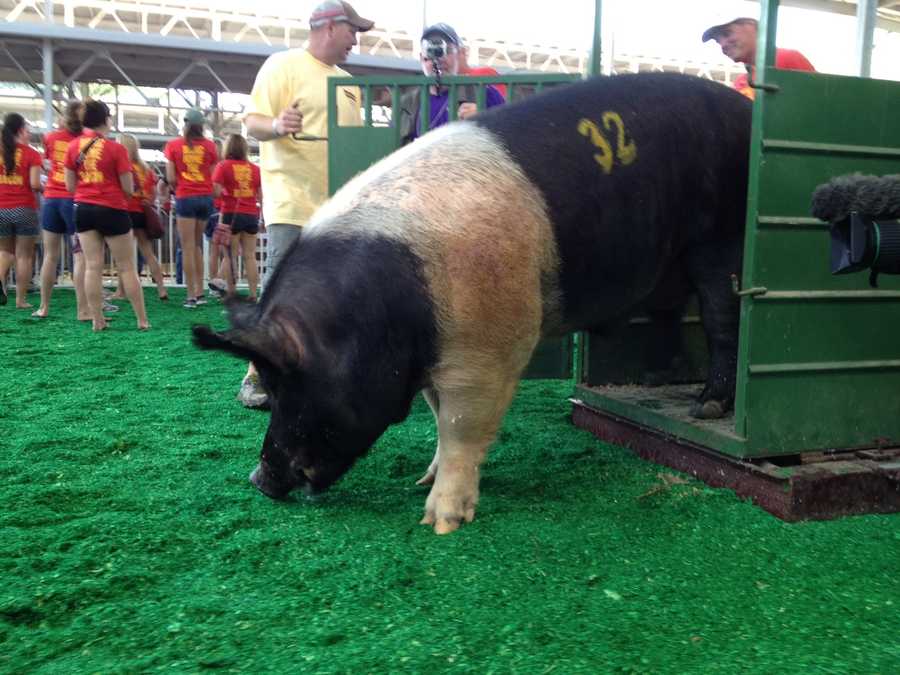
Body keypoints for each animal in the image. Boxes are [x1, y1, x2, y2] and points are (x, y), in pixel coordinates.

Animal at [193, 72, 751, 534]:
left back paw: (706, 405)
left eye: (288, 384)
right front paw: (422, 479)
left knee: (723, 316)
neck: (386, 306)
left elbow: (462, 424)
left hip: (721, 235)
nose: (257, 480)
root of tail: (746, 109)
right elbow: (439, 418)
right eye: (267, 386)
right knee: (669, 313)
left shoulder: (486, 346)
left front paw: (440, 522)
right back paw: (659, 379)